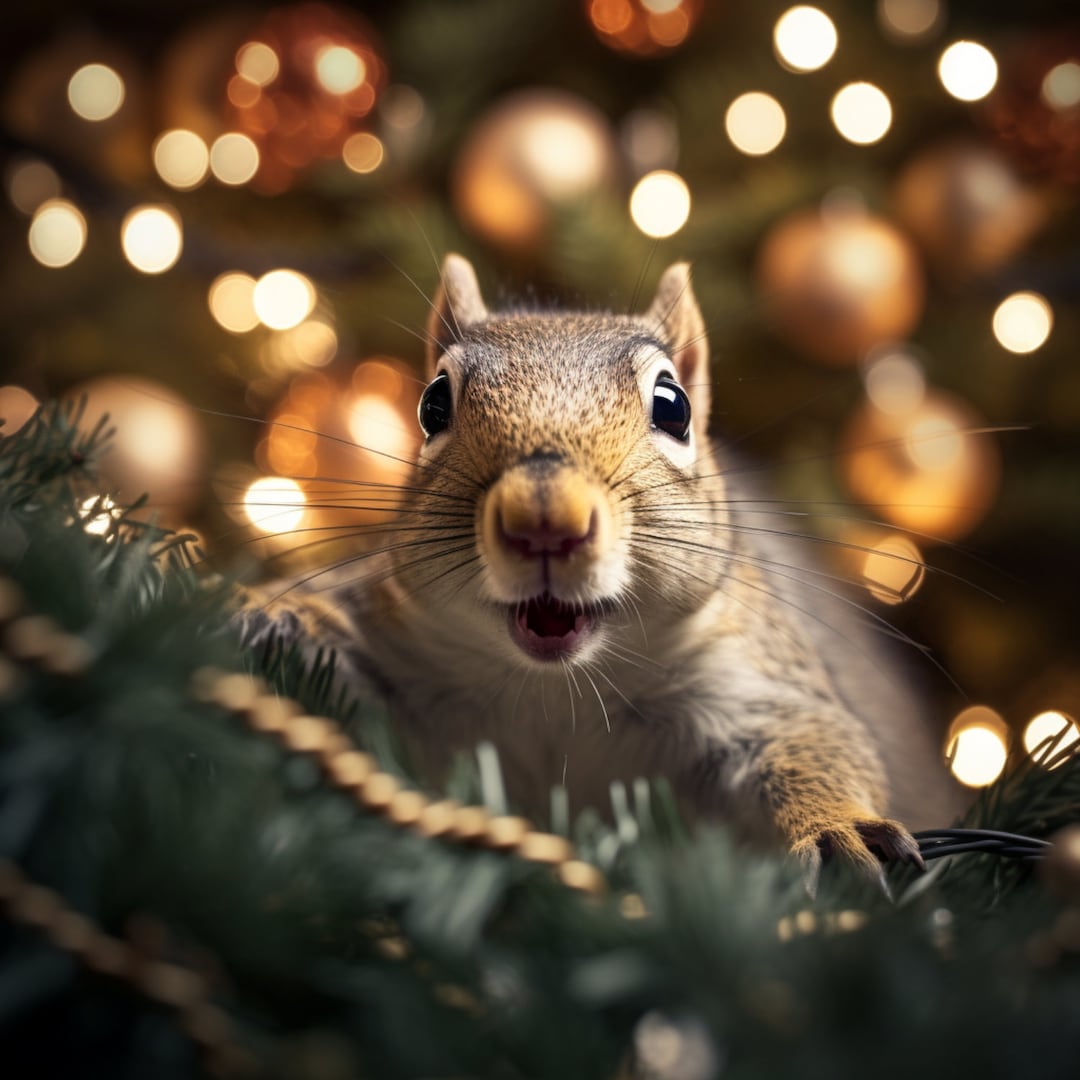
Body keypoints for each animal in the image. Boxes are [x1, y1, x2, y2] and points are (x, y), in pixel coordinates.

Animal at [238, 253, 961, 892]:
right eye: (433, 405)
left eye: (673, 406)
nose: (544, 518)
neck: (556, 691)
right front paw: (274, 613)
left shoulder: (747, 677)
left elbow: (813, 741)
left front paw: (838, 828)